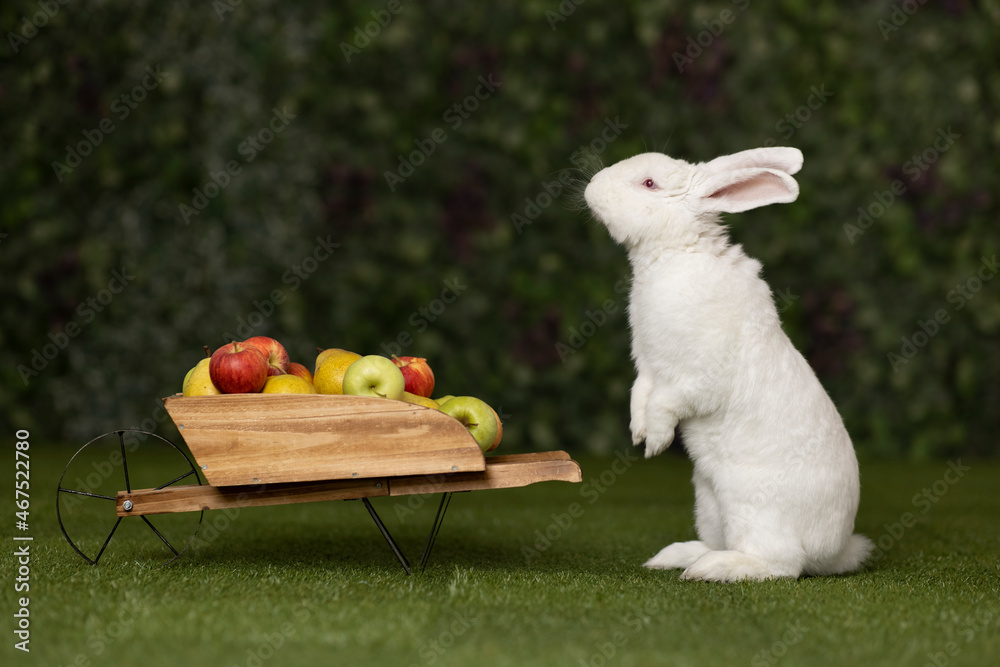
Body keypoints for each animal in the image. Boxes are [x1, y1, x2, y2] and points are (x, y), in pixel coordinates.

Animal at [583, 146, 872, 582]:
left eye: (649, 183)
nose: (590, 188)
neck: (677, 252)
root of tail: (834, 550)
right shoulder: (648, 367)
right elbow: (640, 394)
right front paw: (637, 432)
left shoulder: (696, 377)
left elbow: (666, 403)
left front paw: (656, 442)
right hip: (708, 505)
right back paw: (677, 556)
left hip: (751, 508)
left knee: (783, 564)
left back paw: (712, 569)